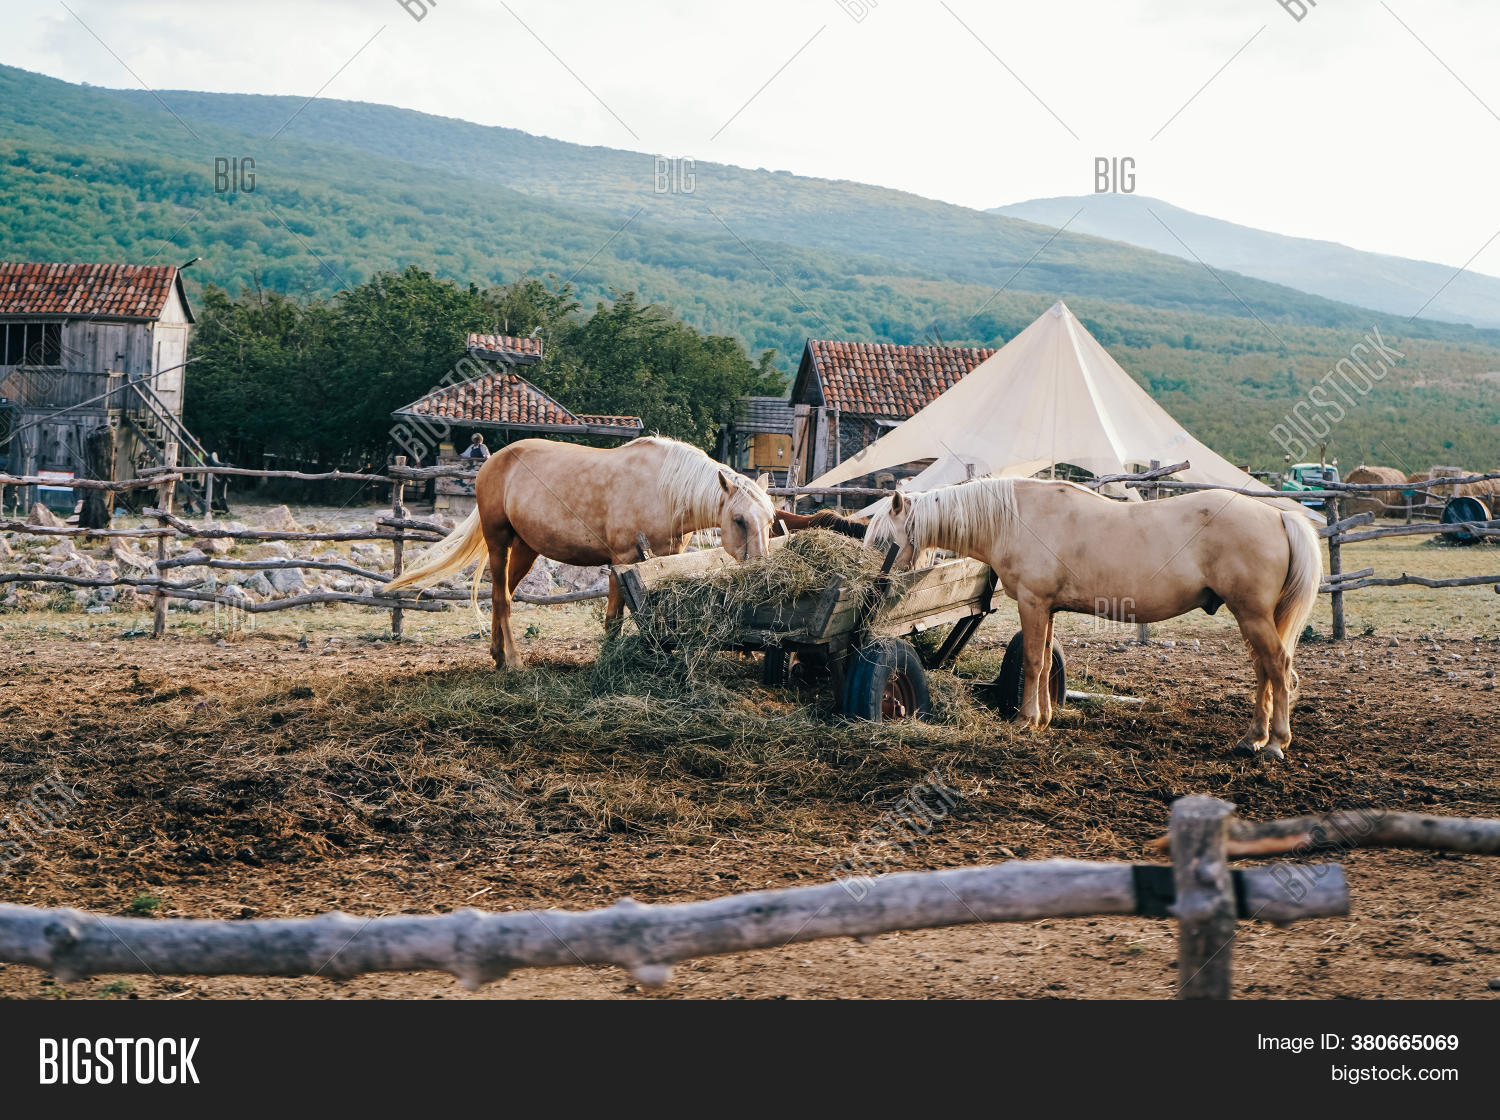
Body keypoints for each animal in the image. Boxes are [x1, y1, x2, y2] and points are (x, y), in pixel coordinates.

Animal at [383, 436, 776, 668]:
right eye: (739, 520)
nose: (761, 572)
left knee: (502, 594)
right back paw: (512, 663)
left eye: (771, 519)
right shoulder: (622, 561)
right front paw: (608, 661)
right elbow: (614, 619)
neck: (664, 488)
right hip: (499, 542)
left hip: (525, 549)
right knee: (500, 599)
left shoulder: (662, 560)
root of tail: (493, 461)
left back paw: (497, 655)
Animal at [867, 478, 1321, 759]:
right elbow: (1044, 663)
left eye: (884, 541)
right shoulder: (1047, 608)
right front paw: (1044, 719)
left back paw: (1275, 743)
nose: (873, 584)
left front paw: (1025, 721)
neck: (1015, 518)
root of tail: (1278, 516)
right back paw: (1253, 738)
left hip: (1253, 615)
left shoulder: (1032, 603)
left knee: (1278, 667)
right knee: (1264, 671)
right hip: (1253, 618)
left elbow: (1032, 662)